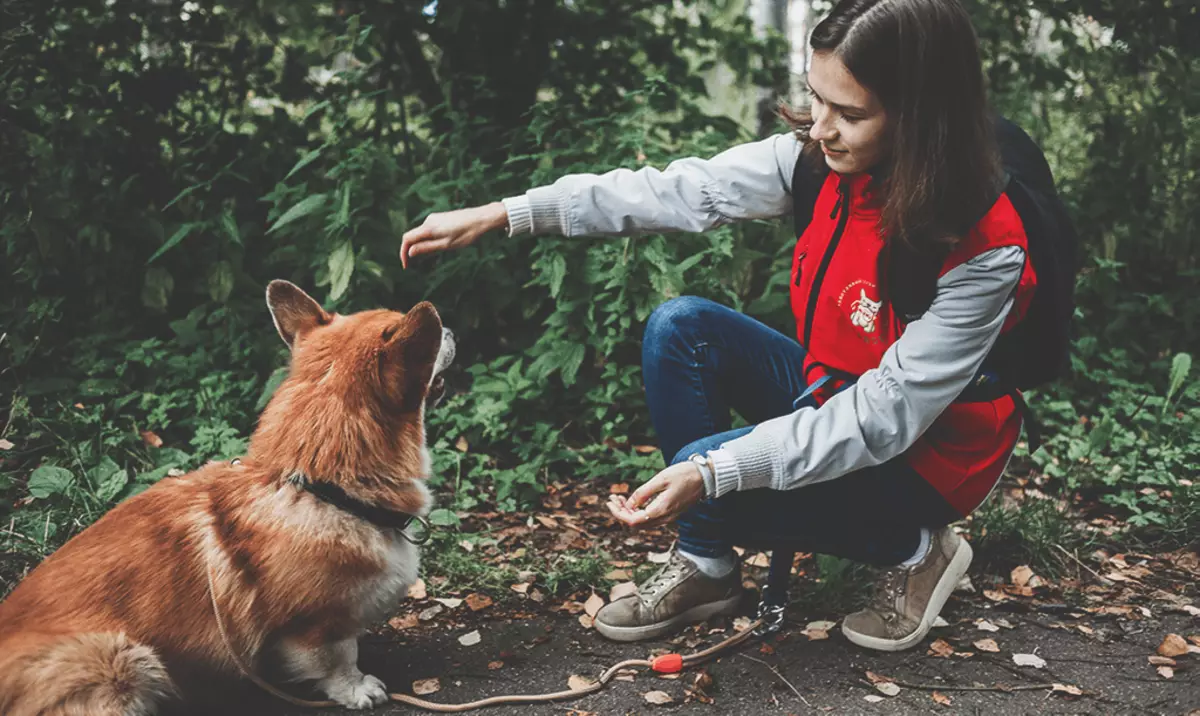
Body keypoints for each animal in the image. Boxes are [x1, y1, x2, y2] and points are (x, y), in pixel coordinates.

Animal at [0, 281, 453, 710]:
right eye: (430, 344)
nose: (449, 330)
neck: (320, 487)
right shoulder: (316, 627)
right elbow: (339, 659)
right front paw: (358, 690)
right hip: (120, 656)